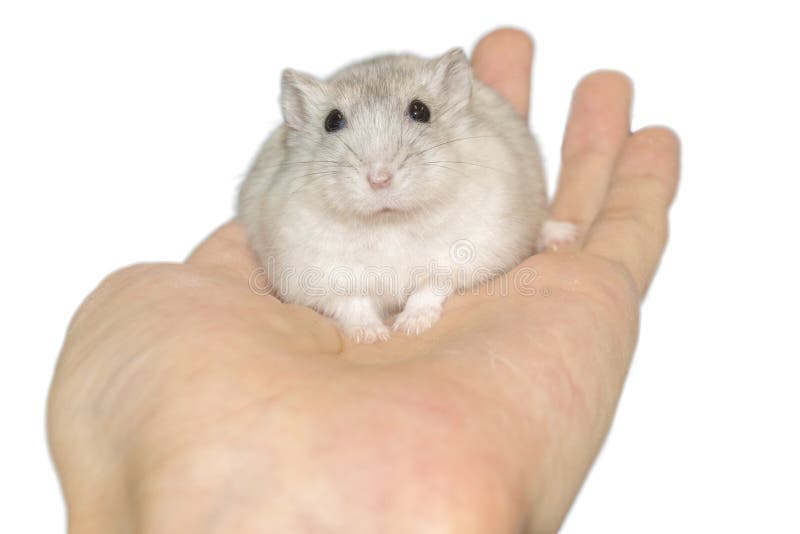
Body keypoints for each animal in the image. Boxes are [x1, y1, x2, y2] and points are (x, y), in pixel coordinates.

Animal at [238, 48, 573, 343]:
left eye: (420, 110)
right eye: (332, 120)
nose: (380, 179)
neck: (389, 222)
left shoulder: (460, 257)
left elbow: (429, 289)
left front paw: (411, 327)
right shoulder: (322, 275)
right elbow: (355, 304)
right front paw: (373, 337)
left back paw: (563, 237)